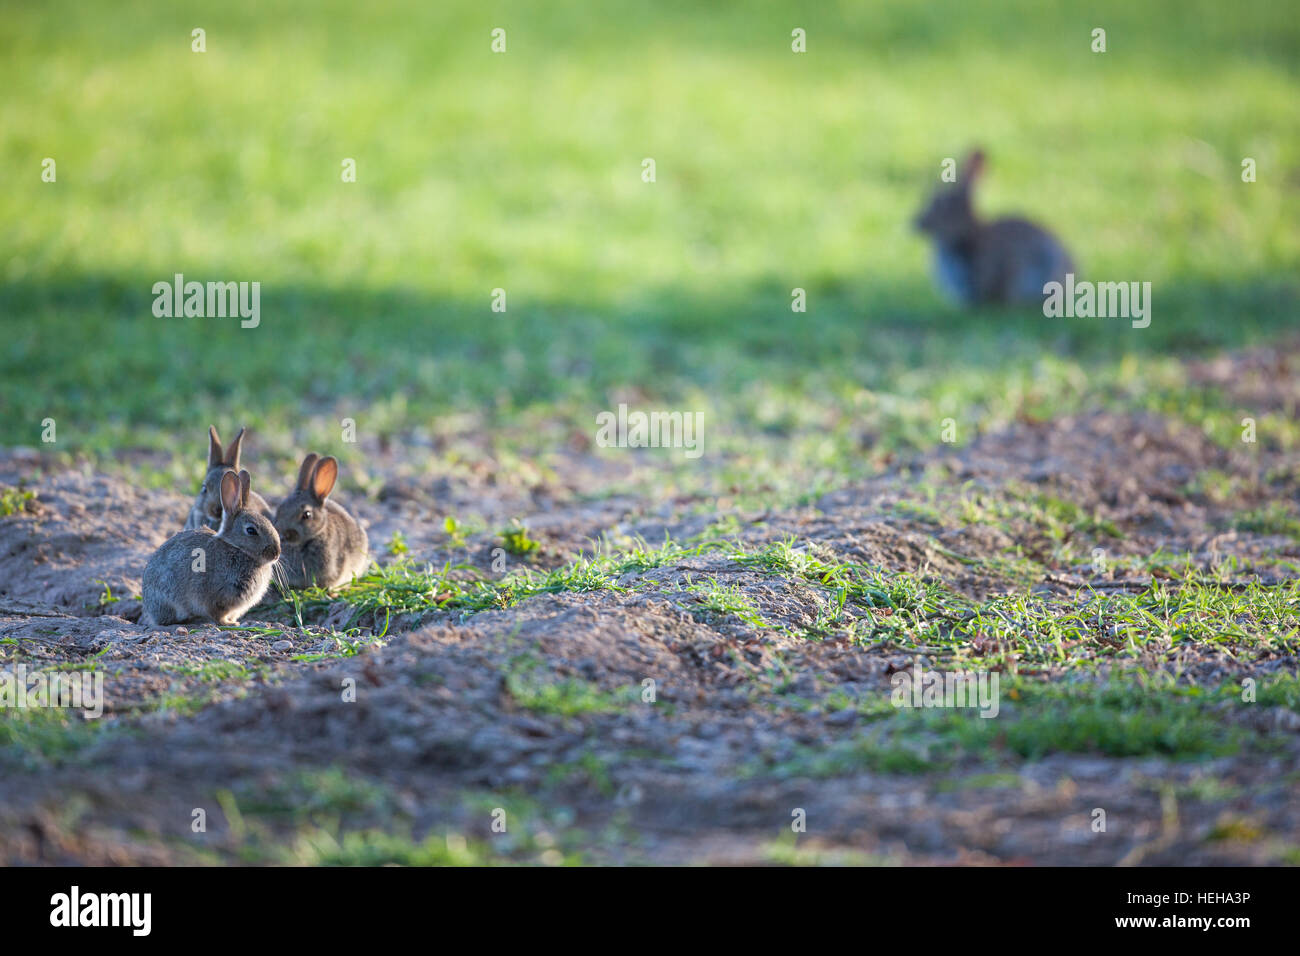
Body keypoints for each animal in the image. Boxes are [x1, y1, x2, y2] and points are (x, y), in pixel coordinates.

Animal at [143, 469, 281, 625]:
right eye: (251, 530)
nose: (276, 553)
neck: (238, 549)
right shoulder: (216, 597)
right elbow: (217, 613)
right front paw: (229, 623)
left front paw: (234, 622)